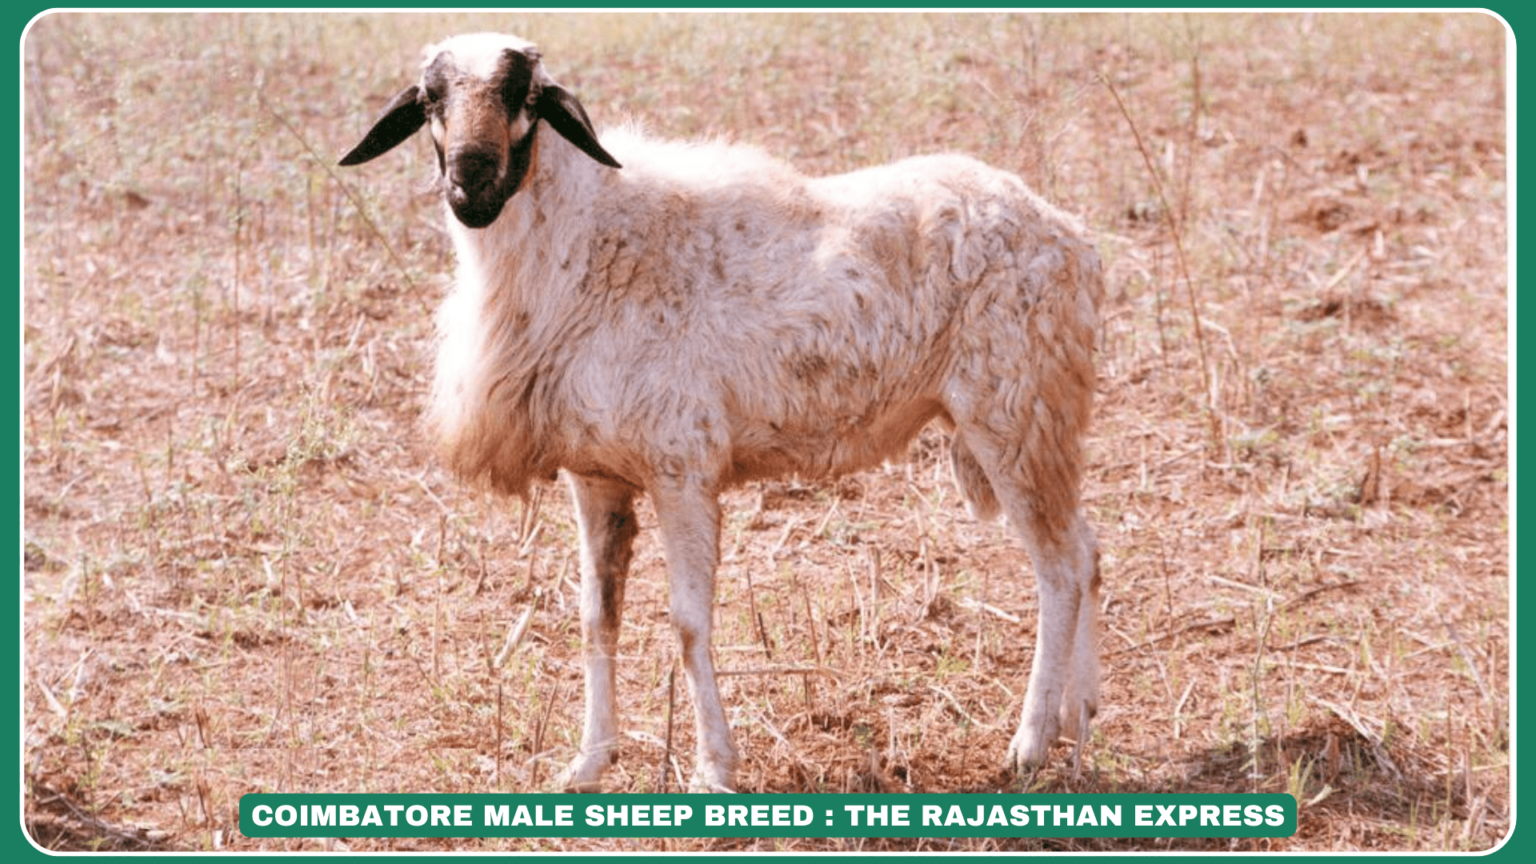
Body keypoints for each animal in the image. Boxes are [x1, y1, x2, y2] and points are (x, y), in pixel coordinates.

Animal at [341, 32, 1105, 793]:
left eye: (524, 96)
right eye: (430, 101)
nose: (470, 183)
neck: (585, 247)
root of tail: (1069, 234)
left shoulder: (681, 468)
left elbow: (687, 624)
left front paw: (713, 769)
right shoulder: (594, 475)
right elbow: (596, 618)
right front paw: (588, 762)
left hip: (1015, 414)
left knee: (1060, 568)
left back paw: (1032, 742)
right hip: (1036, 422)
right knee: (1088, 550)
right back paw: (1082, 720)